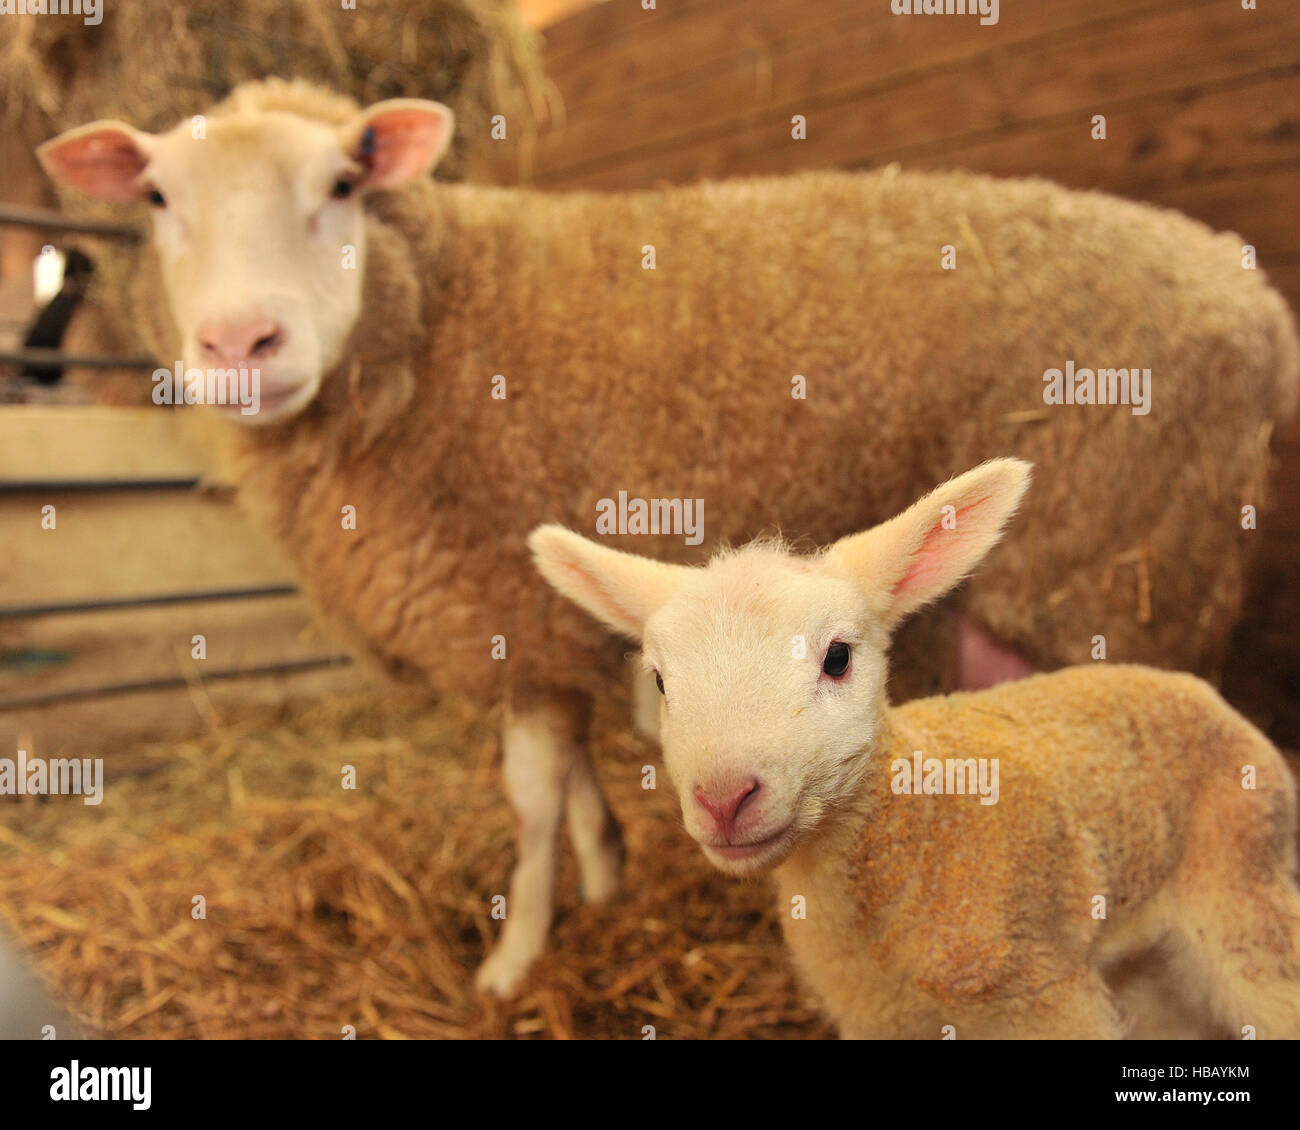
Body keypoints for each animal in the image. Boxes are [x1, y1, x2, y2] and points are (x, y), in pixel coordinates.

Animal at [529, 460, 1300, 1039]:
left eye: (838, 657)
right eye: (661, 680)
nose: (724, 799)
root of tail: (1198, 690)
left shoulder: (1048, 996)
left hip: (1241, 892)